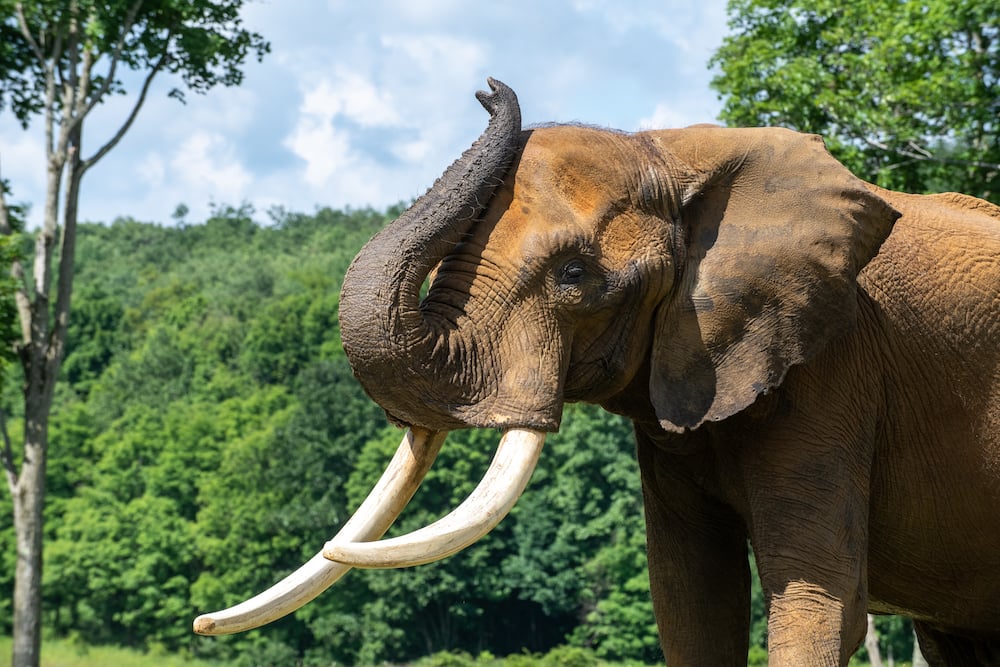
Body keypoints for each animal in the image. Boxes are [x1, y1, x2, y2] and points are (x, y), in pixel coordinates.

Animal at [194, 80, 1000, 666]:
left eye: (575, 276)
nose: (489, 90)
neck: (674, 153)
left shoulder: (834, 370)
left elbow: (815, 598)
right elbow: (691, 600)